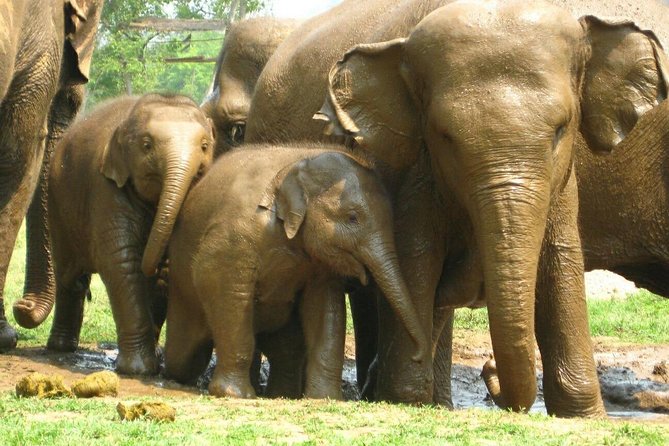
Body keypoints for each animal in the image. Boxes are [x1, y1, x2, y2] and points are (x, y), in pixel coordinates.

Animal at [36, 93, 214, 375]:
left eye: (205, 146)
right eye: (147, 145)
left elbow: (164, 271)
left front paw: (154, 361)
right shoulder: (105, 189)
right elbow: (122, 263)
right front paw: (138, 370)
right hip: (56, 203)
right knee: (69, 277)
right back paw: (61, 347)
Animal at [164, 144, 428, 399]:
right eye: (353, 217)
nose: (418, 356)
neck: (301, 160)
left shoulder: (322, 265)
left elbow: (326, 309)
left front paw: (324, 399)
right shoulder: (235, 233)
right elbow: (219, 282)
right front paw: (235, 395)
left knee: (286, 349)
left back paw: (282, 395)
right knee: (183, 354)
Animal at [245, 0, 668, 416]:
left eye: (562, 130)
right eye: (445, 137)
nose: (488, 368)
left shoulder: (563, 178)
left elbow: (560, 258)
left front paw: (581, 414)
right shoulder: (411, 167)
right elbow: (417, 259)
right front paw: (403, 395)